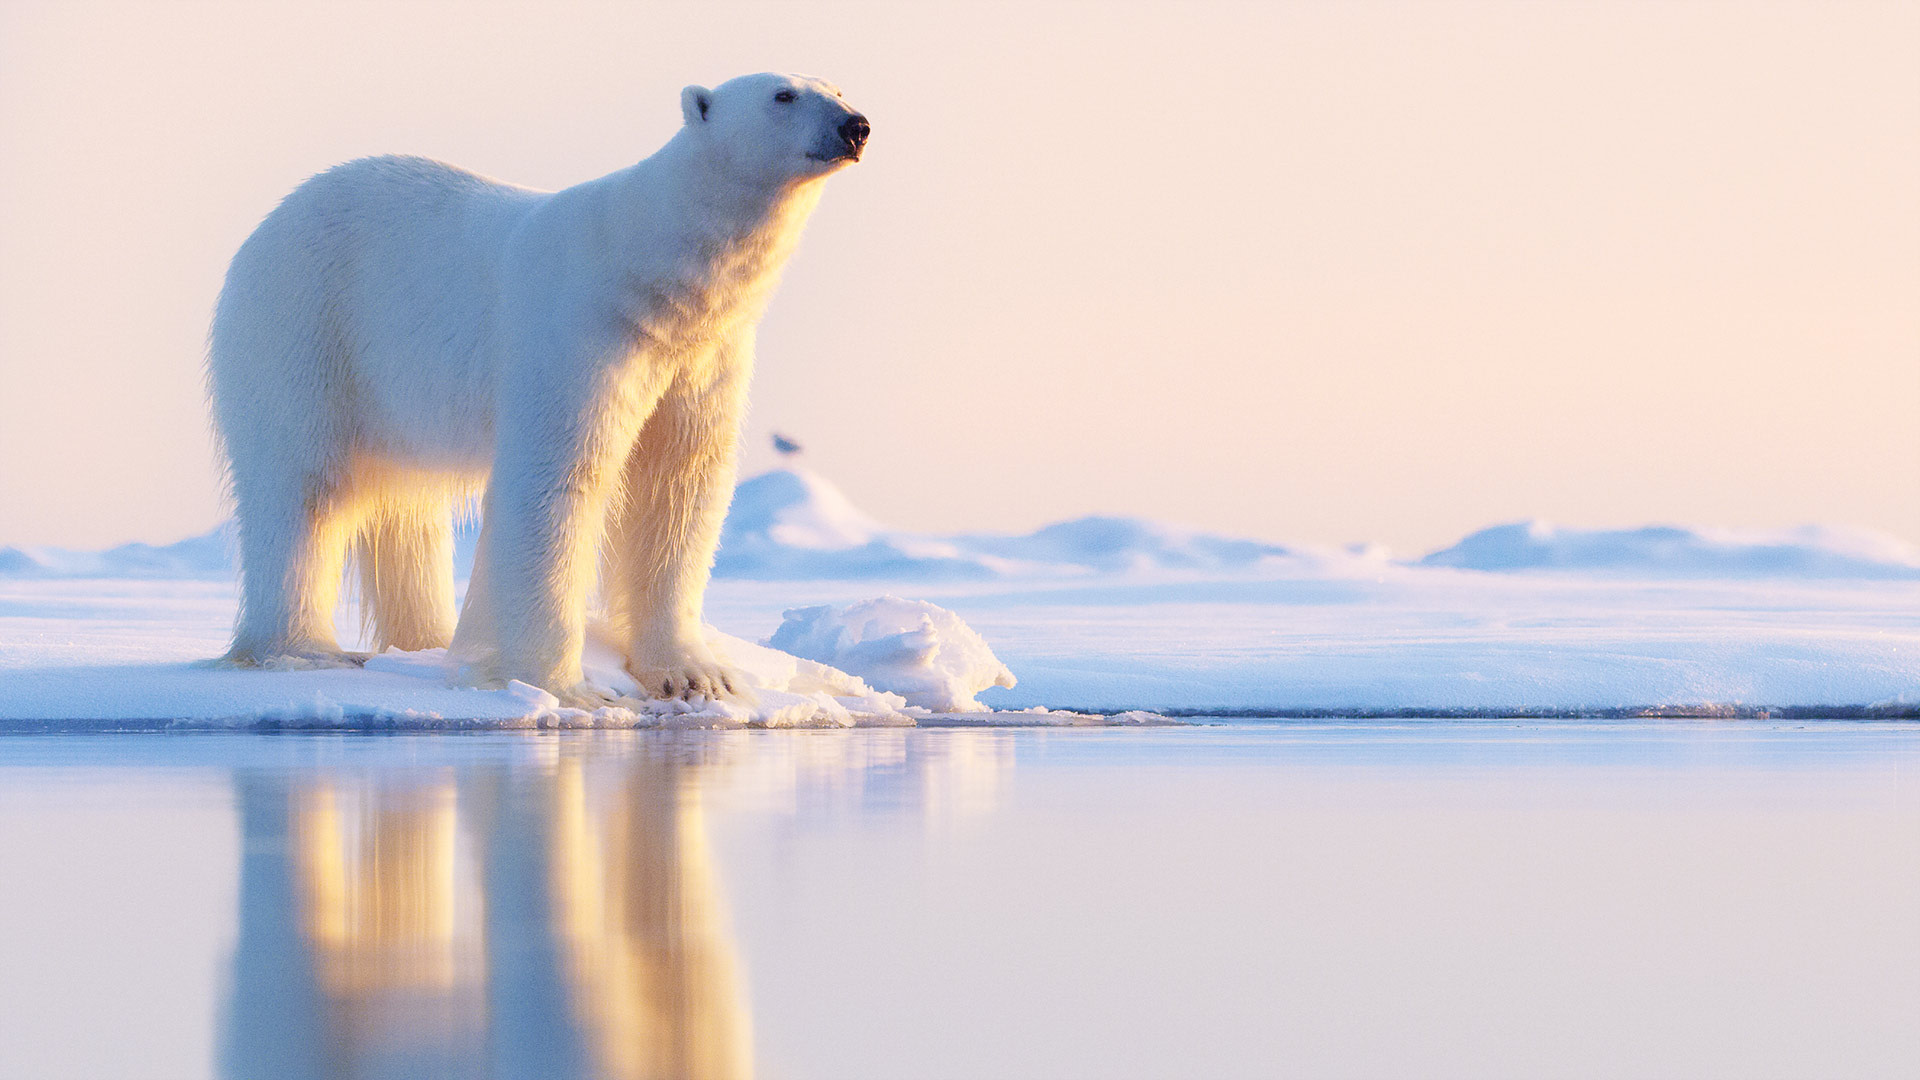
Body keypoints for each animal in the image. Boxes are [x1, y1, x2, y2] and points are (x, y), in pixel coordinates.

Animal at [206, 73, 869, 706]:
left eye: (836, 87)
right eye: (783, 94)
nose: (855, 125)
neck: (652, 270)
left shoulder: (702, 356)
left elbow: (679, 484)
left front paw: (698, 677)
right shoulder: (580, 330)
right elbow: (559, 478)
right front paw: (567, 686)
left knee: (409, 509)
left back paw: (425, 643)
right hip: (305, 329)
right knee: (303, 486)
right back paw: (302, 651)